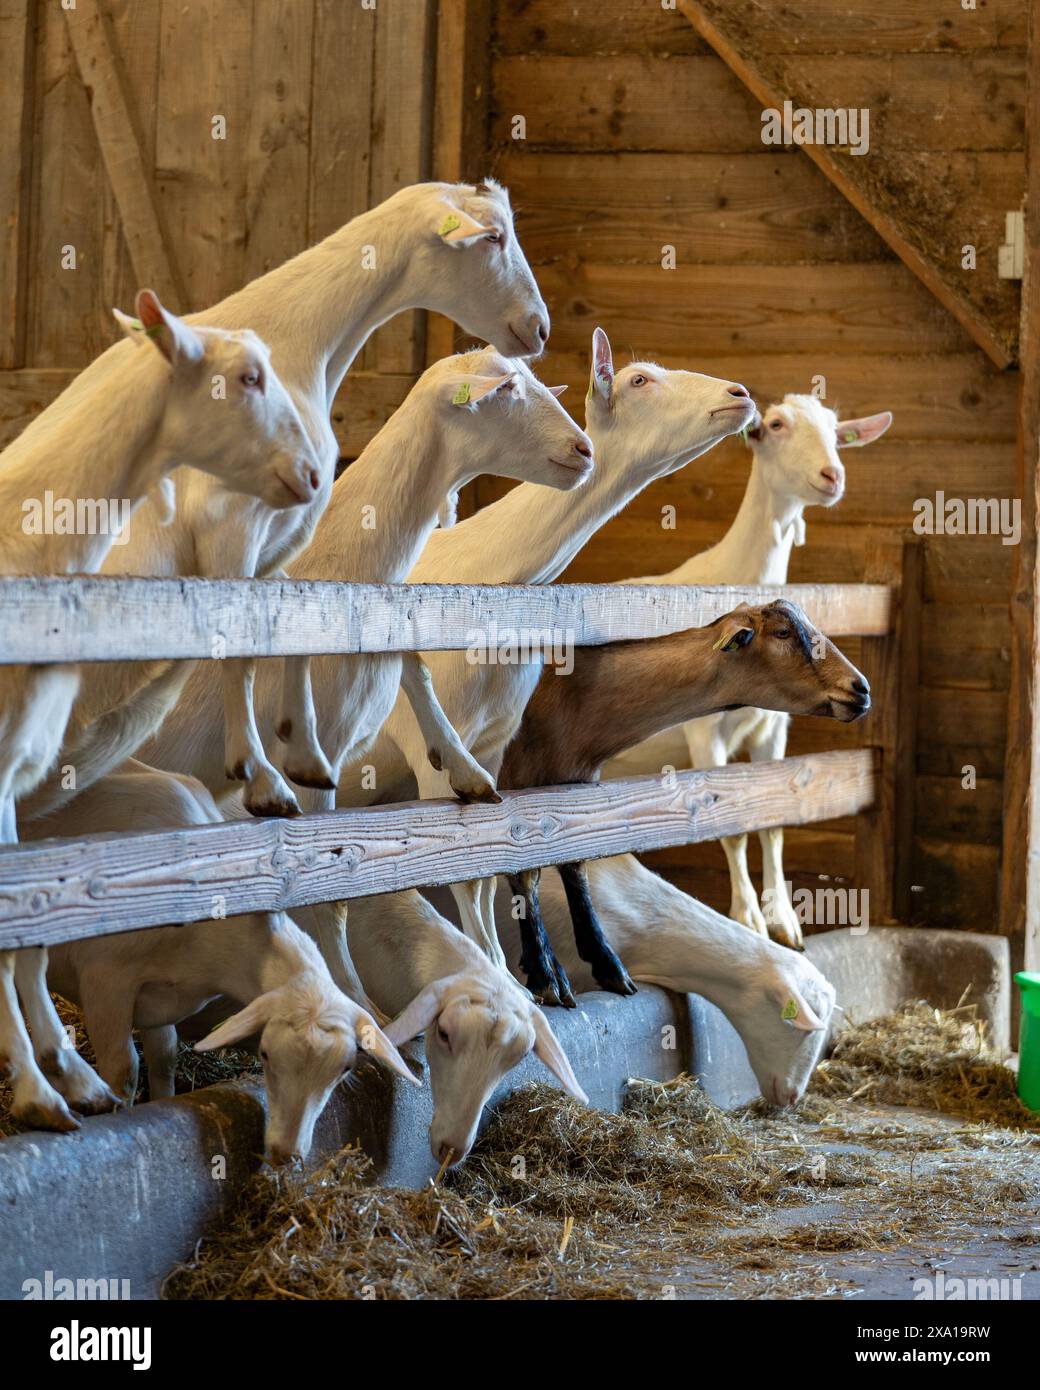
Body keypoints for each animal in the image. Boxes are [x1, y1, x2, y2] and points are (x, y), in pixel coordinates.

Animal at [22, 178, 552, 824]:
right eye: (493, 237)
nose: (540, 328)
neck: (298, 339)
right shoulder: (233, 524)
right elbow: (250, 641)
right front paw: (264, 776)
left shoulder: (286, 544)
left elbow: (311, 625)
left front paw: (313, 752)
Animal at [27, 764, 418, 1166]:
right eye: (264, 1053)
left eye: (343, 1069)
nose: (286, 1154)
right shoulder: (106, 979)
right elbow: (123, 1070)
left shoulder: (160, 994)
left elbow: (164, 1057)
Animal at [327, 326, 756, 974]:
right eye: (638, 380)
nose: (741, 394)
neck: (483, 573)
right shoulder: (437, 759)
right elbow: (463, 871)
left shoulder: (494, 745)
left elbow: (490, 866)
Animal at [495, 599, 871, 1005]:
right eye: (783, 633)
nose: (861, 689)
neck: (570, 694)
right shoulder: (511, 793)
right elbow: (526, 873)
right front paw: (545, 975)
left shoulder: (572, 786)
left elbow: (574, 865)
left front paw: (607, 965)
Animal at [606, 395, 892, 947]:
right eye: (776, 425)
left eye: (835, 432)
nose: (832, 475)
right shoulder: (703, 730)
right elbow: (729, 821)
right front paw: (747, 919)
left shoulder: (774, 726)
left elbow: (771, 814)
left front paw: (783, 919)